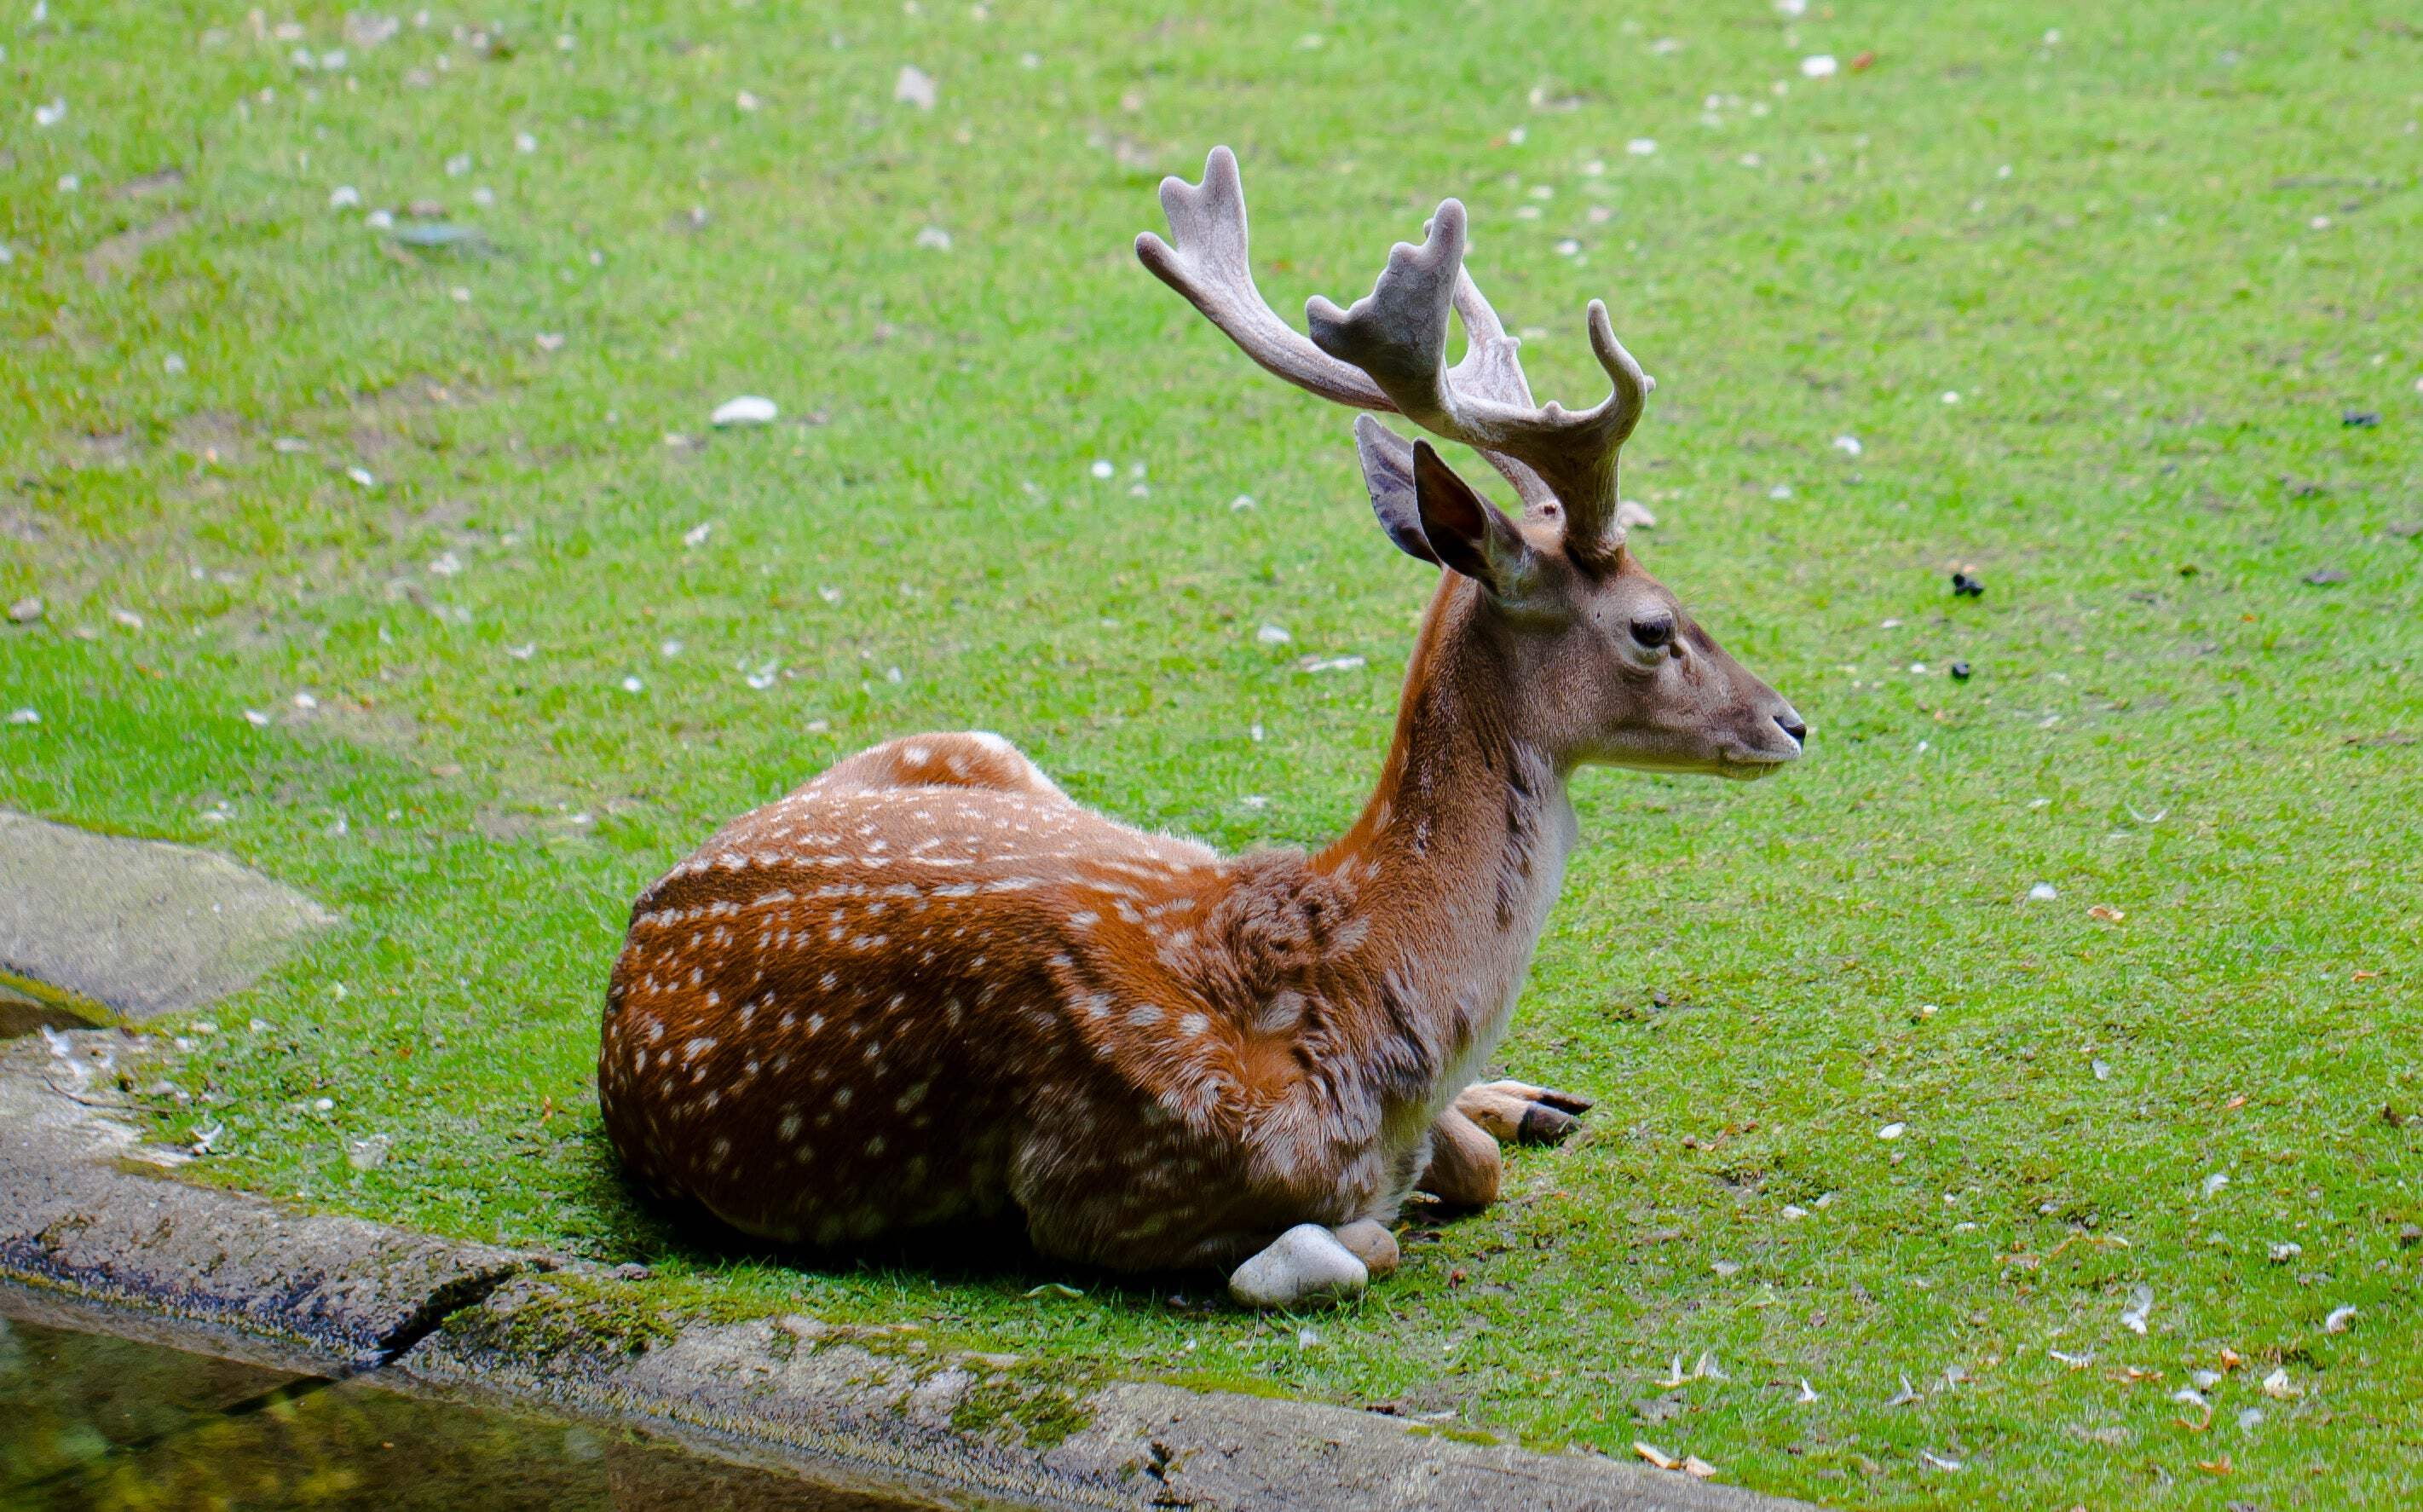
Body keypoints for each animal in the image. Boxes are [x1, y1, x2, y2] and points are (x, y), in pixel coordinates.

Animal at [598, 147, 1807, 1308]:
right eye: (1651, 626)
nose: (1790, 721)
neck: (1357, 1004)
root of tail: (646, 903)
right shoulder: (1106, 1196)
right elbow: (1349, 1246)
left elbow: (1465, 1165)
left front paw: (1491, 1119)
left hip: (984, 746)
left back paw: (1533, 1097)